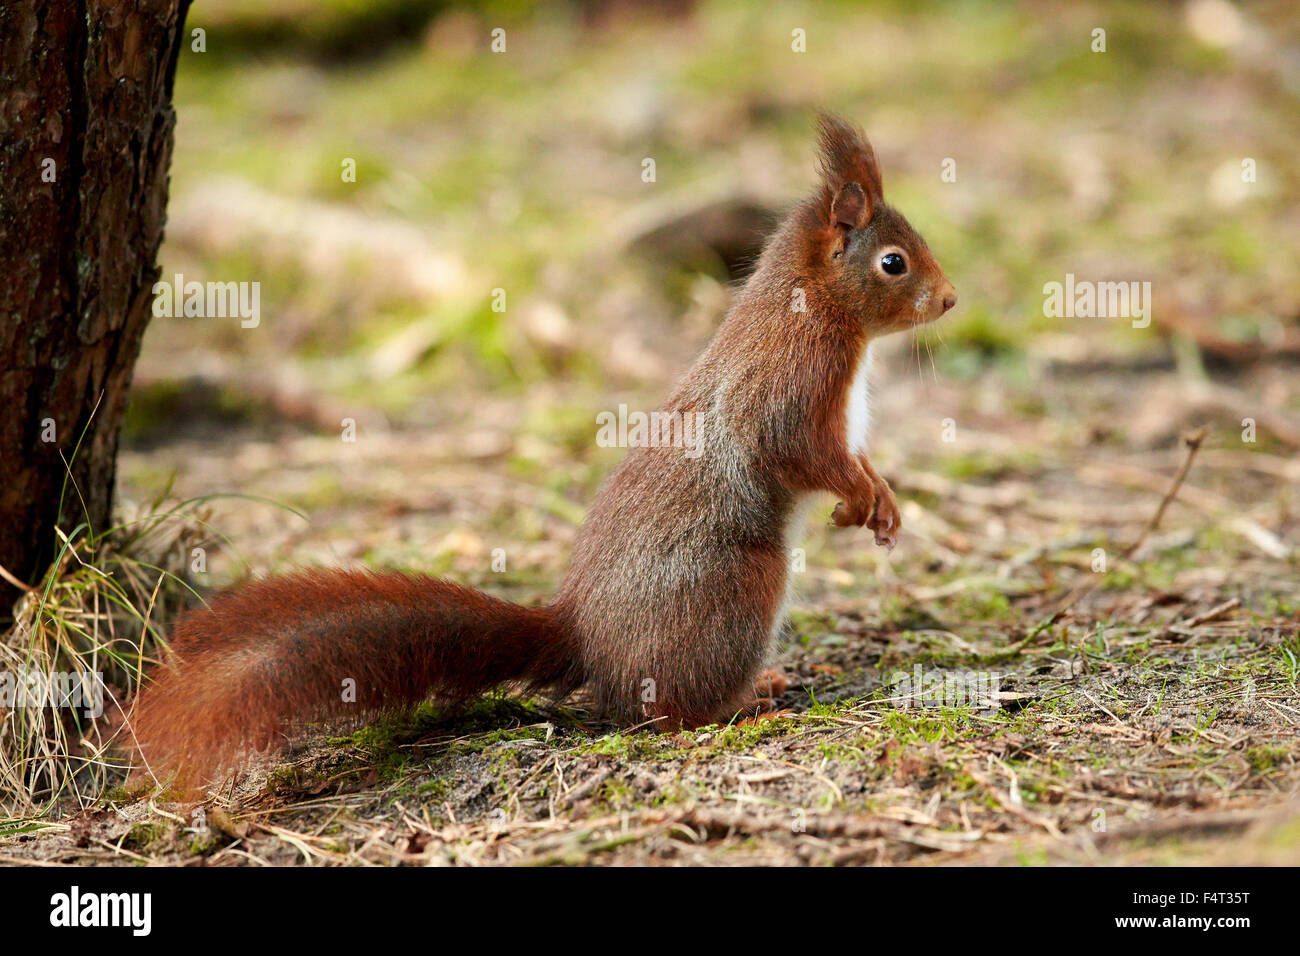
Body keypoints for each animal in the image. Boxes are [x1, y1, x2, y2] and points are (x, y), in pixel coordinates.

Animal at [130, 114, 956, 789]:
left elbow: (855, 463)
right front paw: (863, 500)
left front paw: (878, 502)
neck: (816, 311)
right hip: (736, 587)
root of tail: (584, 638)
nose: (950, 301)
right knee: (669, 711)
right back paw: (748, 707)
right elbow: (806, 456)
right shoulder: (789, 392)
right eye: (892, 262)